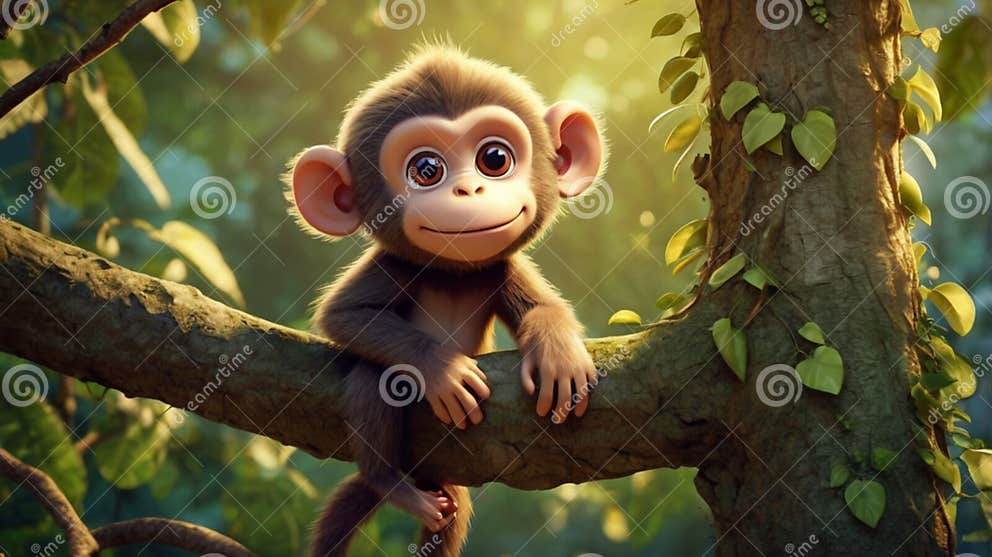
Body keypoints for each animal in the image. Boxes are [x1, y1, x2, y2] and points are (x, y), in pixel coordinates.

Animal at [287, 43, 607, 557]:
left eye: (494, 158)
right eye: (426, 169)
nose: (468, 189)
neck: (452, 273)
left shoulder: (497, 268)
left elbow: (542, 308)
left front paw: (558, 356)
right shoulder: (397, 265)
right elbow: (345, 316)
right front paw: (443, 369)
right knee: (374, 376)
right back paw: (389, 482)